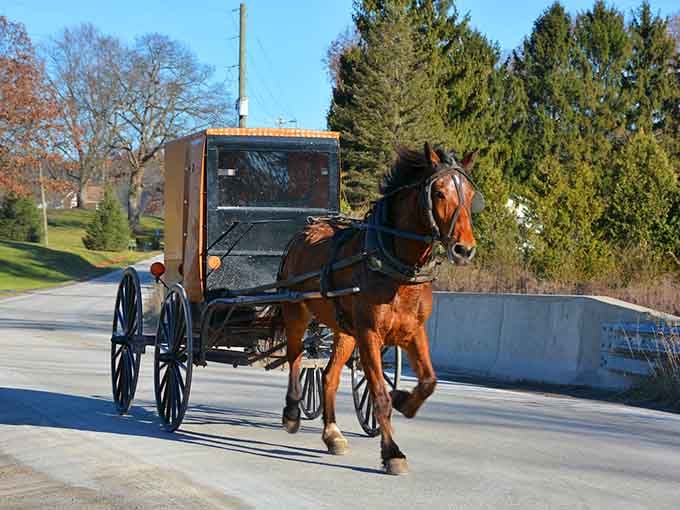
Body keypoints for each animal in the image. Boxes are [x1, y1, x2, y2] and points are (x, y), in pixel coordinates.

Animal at [277, 143, 482, 475]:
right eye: (438, 192)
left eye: (471, 194)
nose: (464, 249)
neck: (394, 265)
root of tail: (300, 235)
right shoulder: (370, 334)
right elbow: (379, 395)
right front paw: (392, 452)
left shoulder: (413, 331)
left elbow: (429, 381)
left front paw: (403, 399)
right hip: (296, 310)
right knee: (295, 358)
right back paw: (292, 412)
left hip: (345, 331)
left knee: (328, 376)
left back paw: (332, 433)